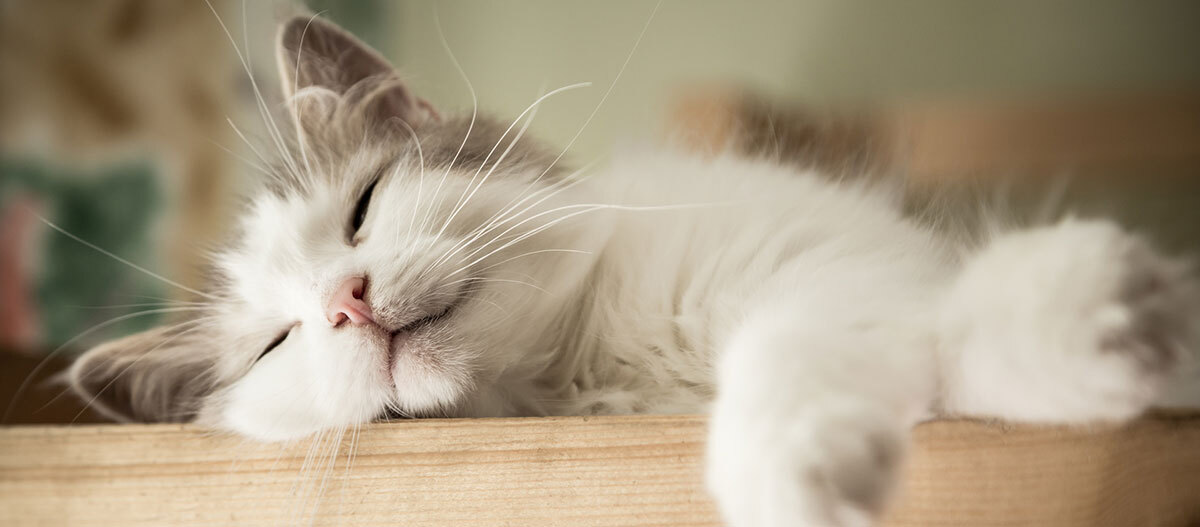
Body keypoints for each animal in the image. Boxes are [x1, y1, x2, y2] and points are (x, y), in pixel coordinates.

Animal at [72, 14, 1200, 525]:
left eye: (362, 208)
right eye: (278, 340)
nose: (344, 301)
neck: (588, 367)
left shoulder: (849, 261)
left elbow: (813, 340)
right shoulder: (870, 286)